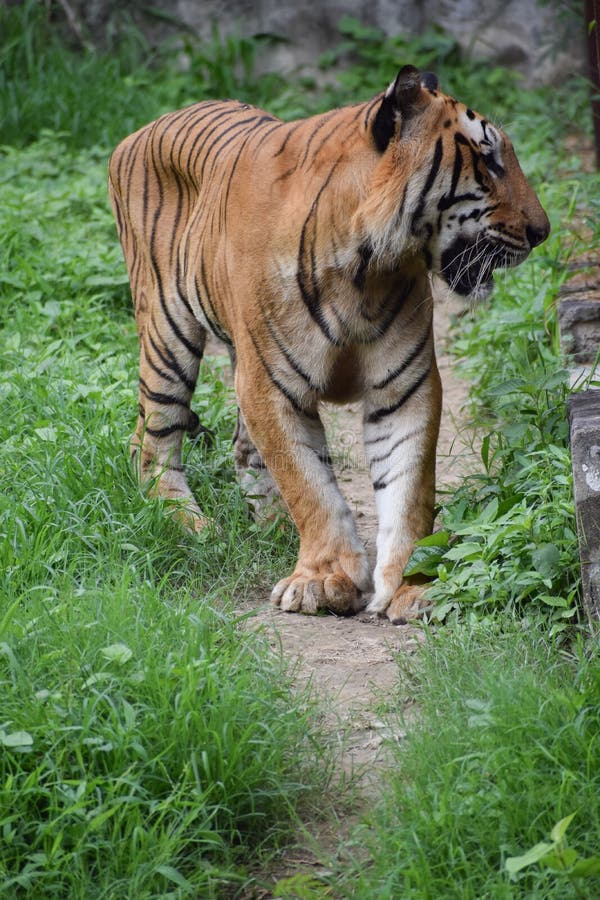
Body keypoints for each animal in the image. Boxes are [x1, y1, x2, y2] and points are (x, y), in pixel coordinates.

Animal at [108, 65, 549, 624]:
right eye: (489, 159)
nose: (542, 231)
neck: (365, 266)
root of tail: (144, 128)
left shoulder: (404, 386)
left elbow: (407, 488)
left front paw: (412, 586)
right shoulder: (269, 384)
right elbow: (309, 483)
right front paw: (322, 579)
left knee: (242, 448)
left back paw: (272, 527)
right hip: (166, 334)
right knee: (151, 439)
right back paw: (192, 526)